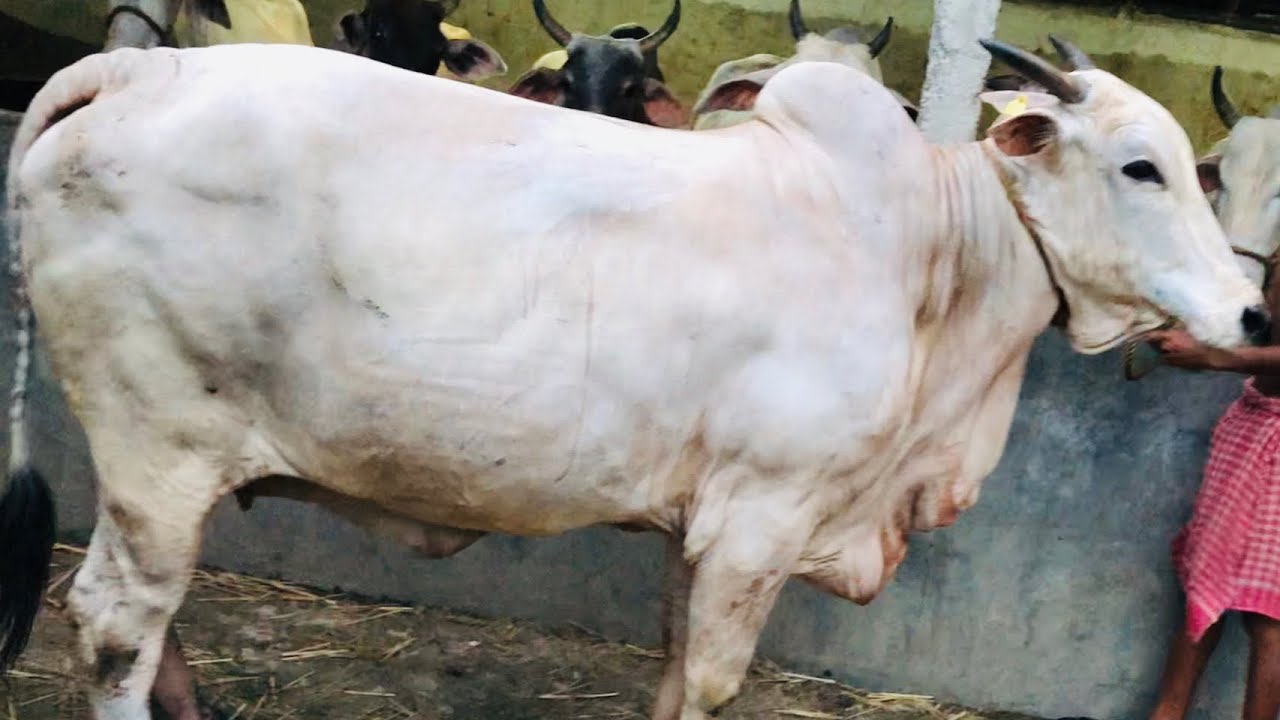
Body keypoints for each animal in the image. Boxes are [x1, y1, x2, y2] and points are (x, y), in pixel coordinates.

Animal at [0, 36, 1270, 720]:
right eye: (1141, 167)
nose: (1251, 311)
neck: (932, 261)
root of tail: (141, 63)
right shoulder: (762, 519)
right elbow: (708, 681)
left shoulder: (701, 525)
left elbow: (670, 667)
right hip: (159, 449)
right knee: (115, 619)